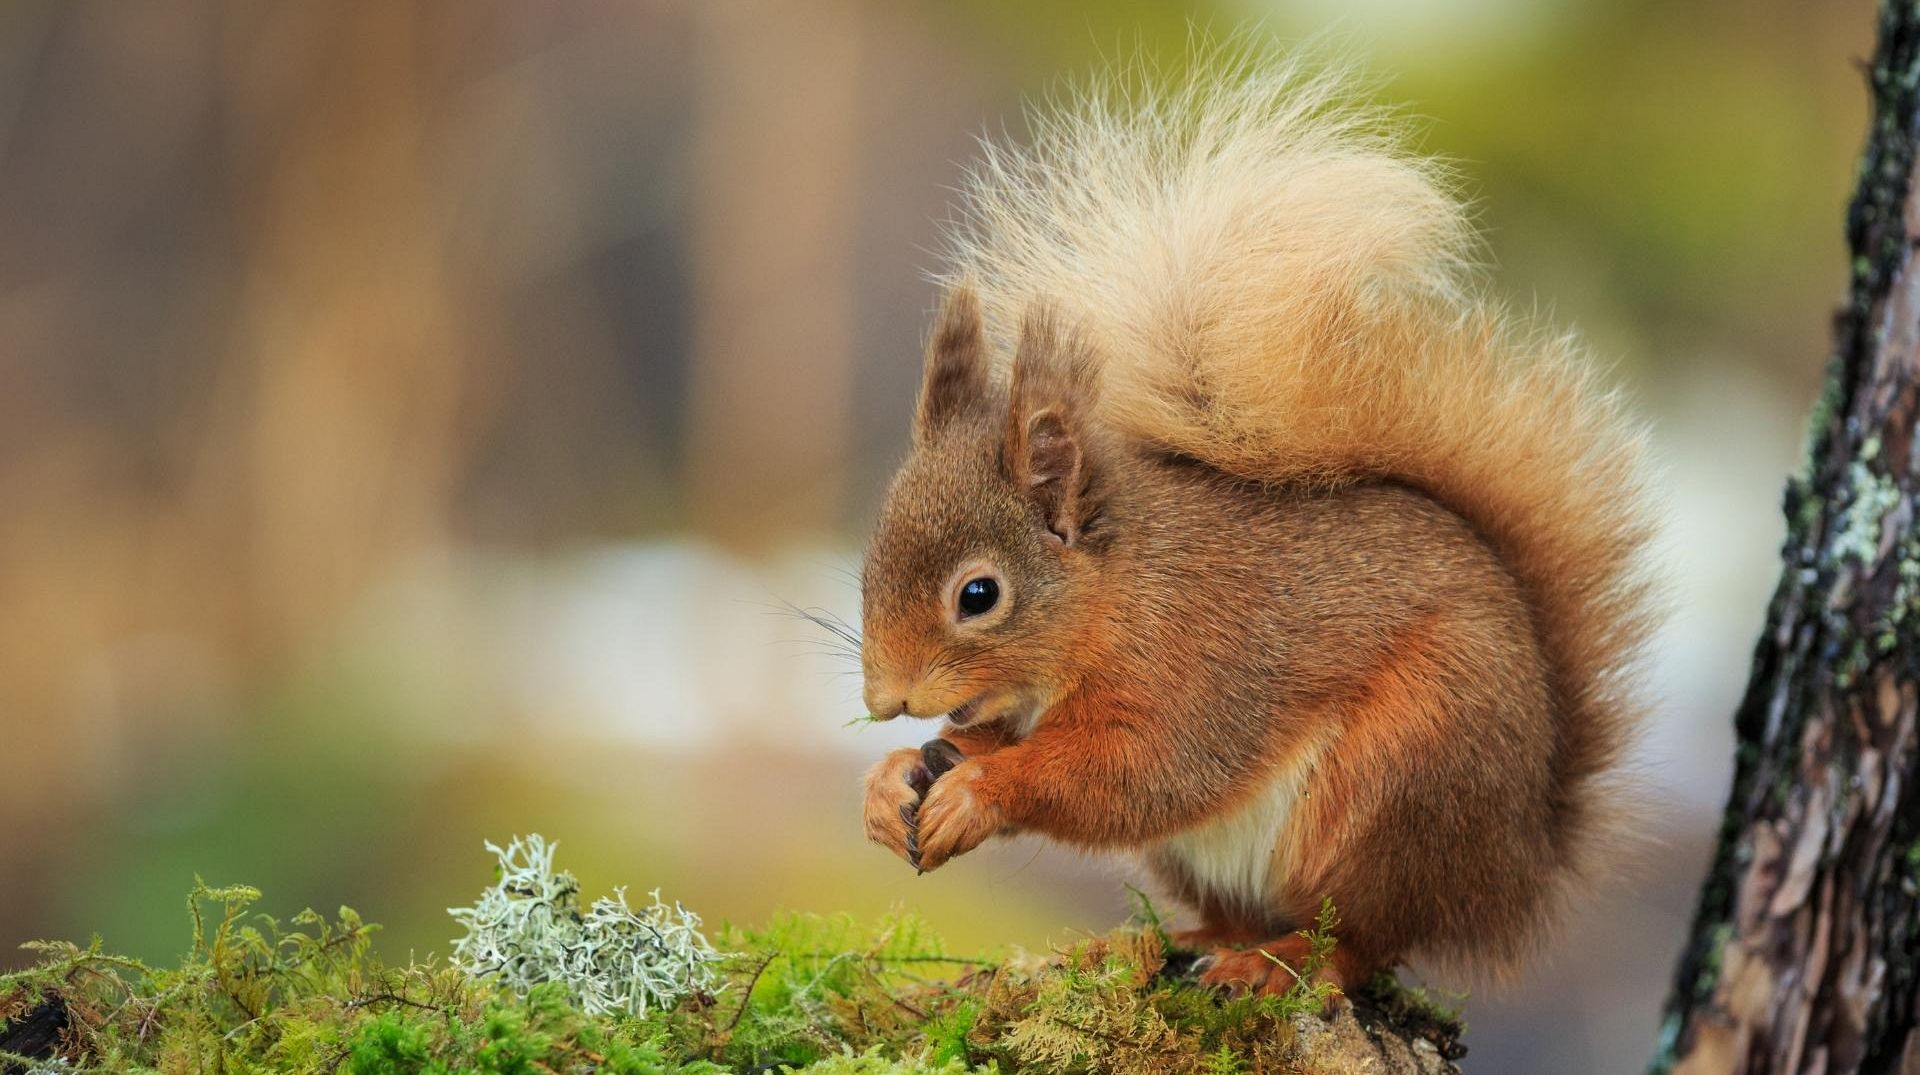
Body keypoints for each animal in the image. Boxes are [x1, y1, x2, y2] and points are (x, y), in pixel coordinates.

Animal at [854, 55, 1658, 995]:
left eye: (979, 594)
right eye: (867, 562)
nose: (885, 700)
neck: (1116, 594)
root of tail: (1514, 871)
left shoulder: (1193, 671)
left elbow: (1135, 774)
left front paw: (979, 789)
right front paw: (894, 781)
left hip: (1397, 781)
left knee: (1366, 940)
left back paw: (1277, 963)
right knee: (1246, 913)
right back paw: (1173, 941)